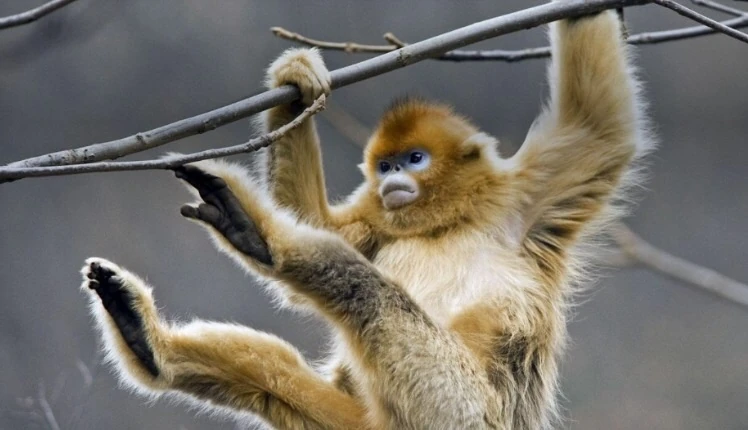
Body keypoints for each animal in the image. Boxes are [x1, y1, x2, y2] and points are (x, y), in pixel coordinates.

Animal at [81, 5, 652, 430]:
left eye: (414, 159)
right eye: (385, 165)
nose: (392, 179)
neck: (447, 220)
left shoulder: (531, 198)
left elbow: (599, 126)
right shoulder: (379, 220)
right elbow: (316, 220)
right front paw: (297, 88)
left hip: (453, 406)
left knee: (364, 293)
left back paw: (261, 238)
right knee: (282, 371)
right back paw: (150, 341)